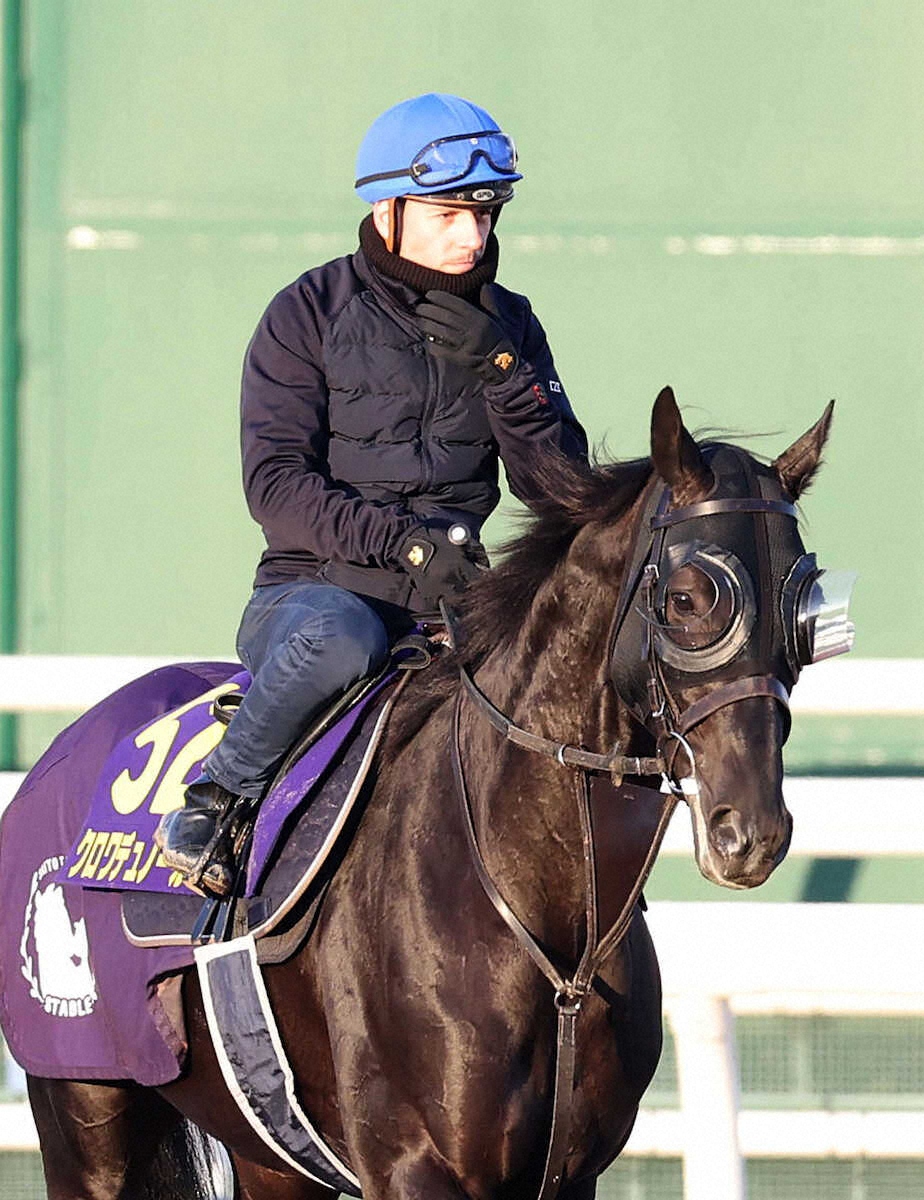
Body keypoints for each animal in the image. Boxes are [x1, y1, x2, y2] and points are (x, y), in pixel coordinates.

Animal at [16, 387, 840, 1200]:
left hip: (268, 1151)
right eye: (689, 597)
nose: (751, 833)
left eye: (805, 603)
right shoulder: (414, 1164)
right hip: (84, 1115)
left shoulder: (572, 1170)